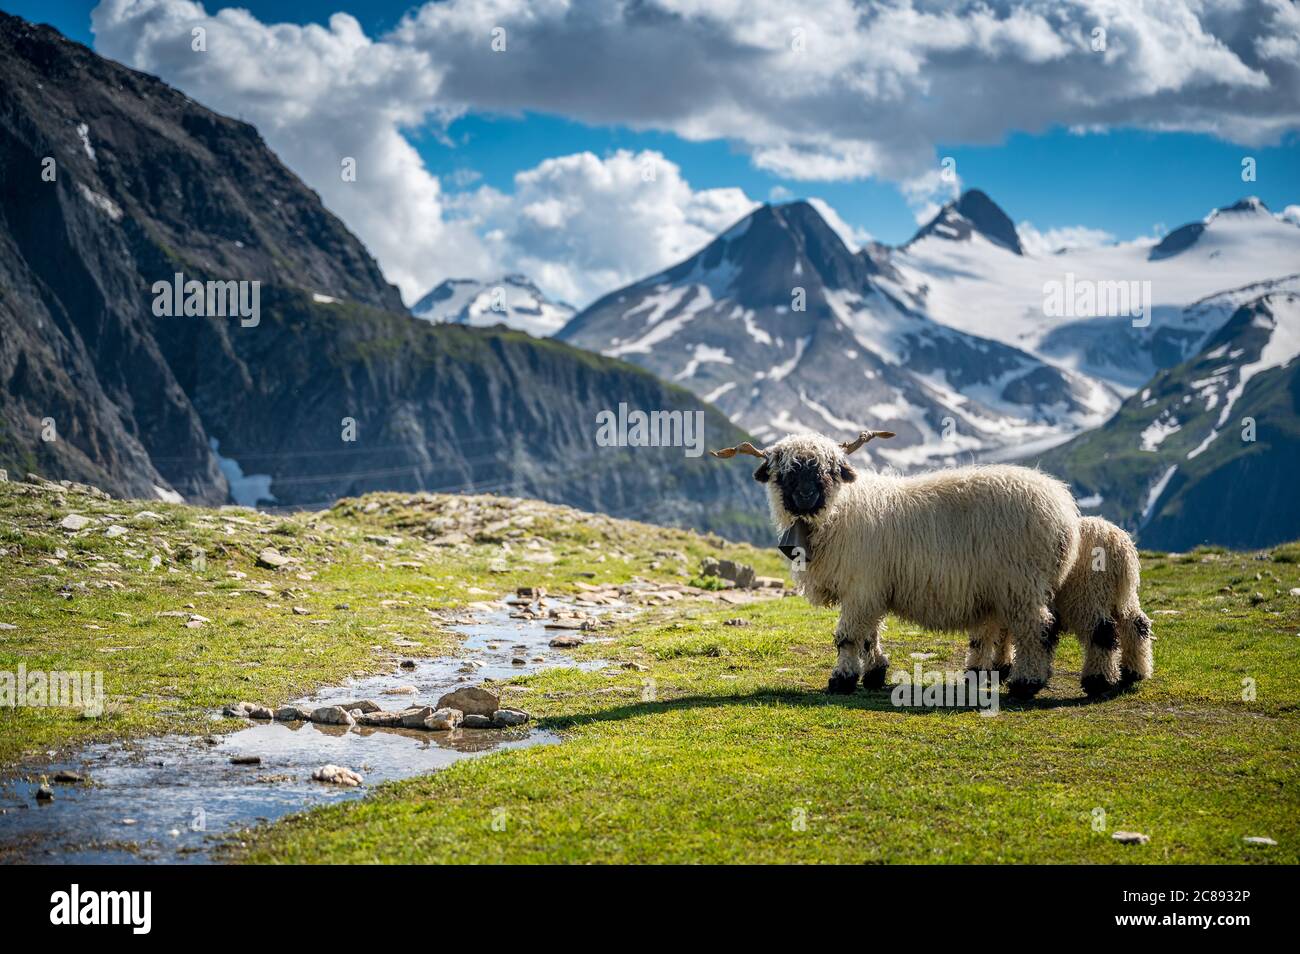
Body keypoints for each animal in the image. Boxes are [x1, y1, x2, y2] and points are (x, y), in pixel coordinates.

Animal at [712, 431, 1080, 699]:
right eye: (785, 473)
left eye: (829, 471)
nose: (806, 497)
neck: (838, 513)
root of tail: (1064, 510)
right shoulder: (871, 589)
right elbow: (869, 635)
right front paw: (875, 672)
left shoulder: (861, 586)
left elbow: (848, 637)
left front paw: (842, 679)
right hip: (1007, 586)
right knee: (1011, 628)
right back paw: (996, 672)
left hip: (1022, 581)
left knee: (1038, 628)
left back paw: (1026, 683)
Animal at [970, 516, 1154, 695]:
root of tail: (1118, 544)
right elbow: (1004, 635)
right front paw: (1003, 667)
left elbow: (983, 636)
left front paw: (977, 670)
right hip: (1122, 598)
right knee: (1137, 624)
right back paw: (1133, 672)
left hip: (1088, 595)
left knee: (1103, 633)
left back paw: (1097, 681)